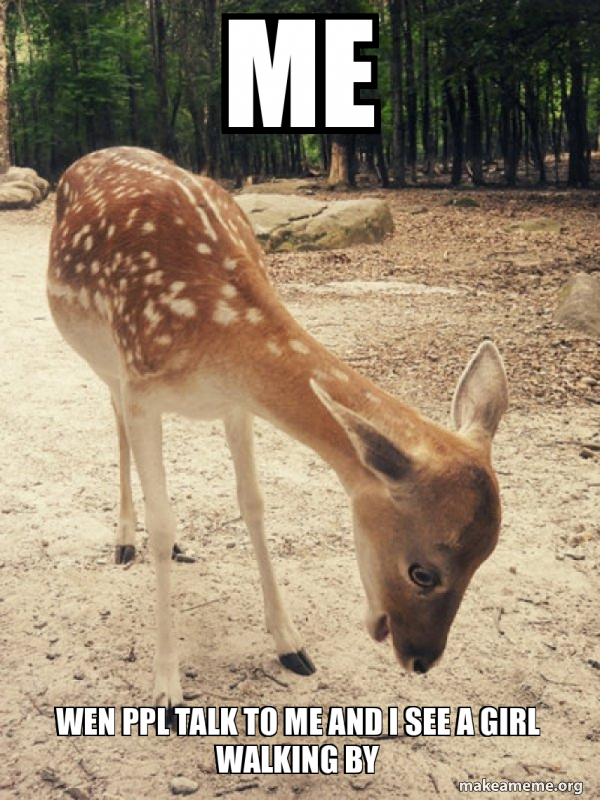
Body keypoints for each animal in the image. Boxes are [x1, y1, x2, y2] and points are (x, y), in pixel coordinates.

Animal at [47, 147, 508, 721]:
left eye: (484, 560)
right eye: (421, 571)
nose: (421, 659)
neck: (212, 334)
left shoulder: (238, 404)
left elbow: (253, 504)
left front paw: (291, 644)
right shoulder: (140, 388)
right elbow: (162, 519)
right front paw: (166, 687)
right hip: (105, 362)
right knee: (116, 426)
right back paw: (125, 540)